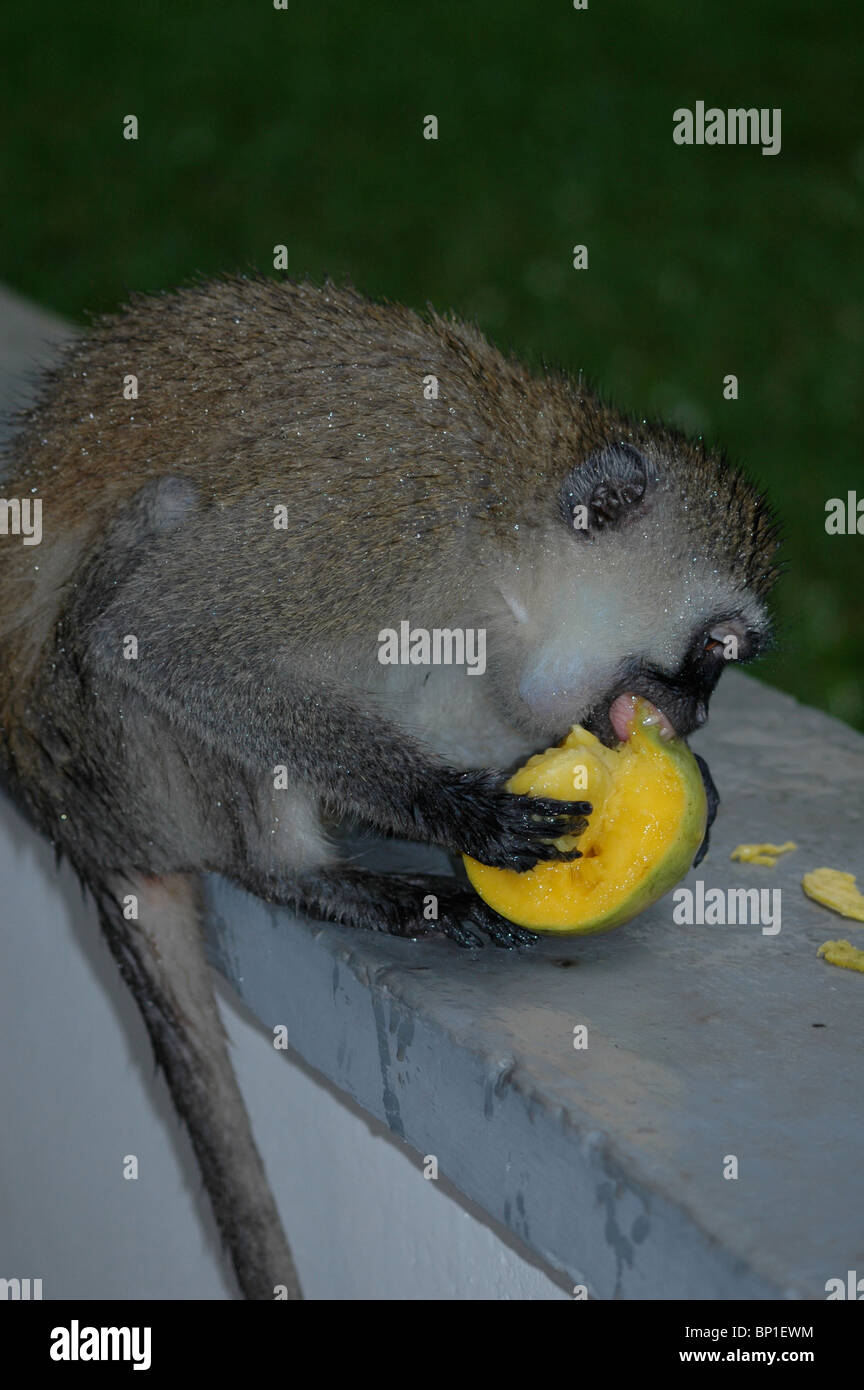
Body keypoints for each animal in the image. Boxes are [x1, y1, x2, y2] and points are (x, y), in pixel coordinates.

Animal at [0, 274, 779, 1300]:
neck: (501, 546)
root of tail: (73, 825)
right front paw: (458, 811)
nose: (695, 713)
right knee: (164, 530)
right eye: (715, 649)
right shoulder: (379, 519)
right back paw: (305, 874)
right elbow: (166, 638)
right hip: (108, 759)